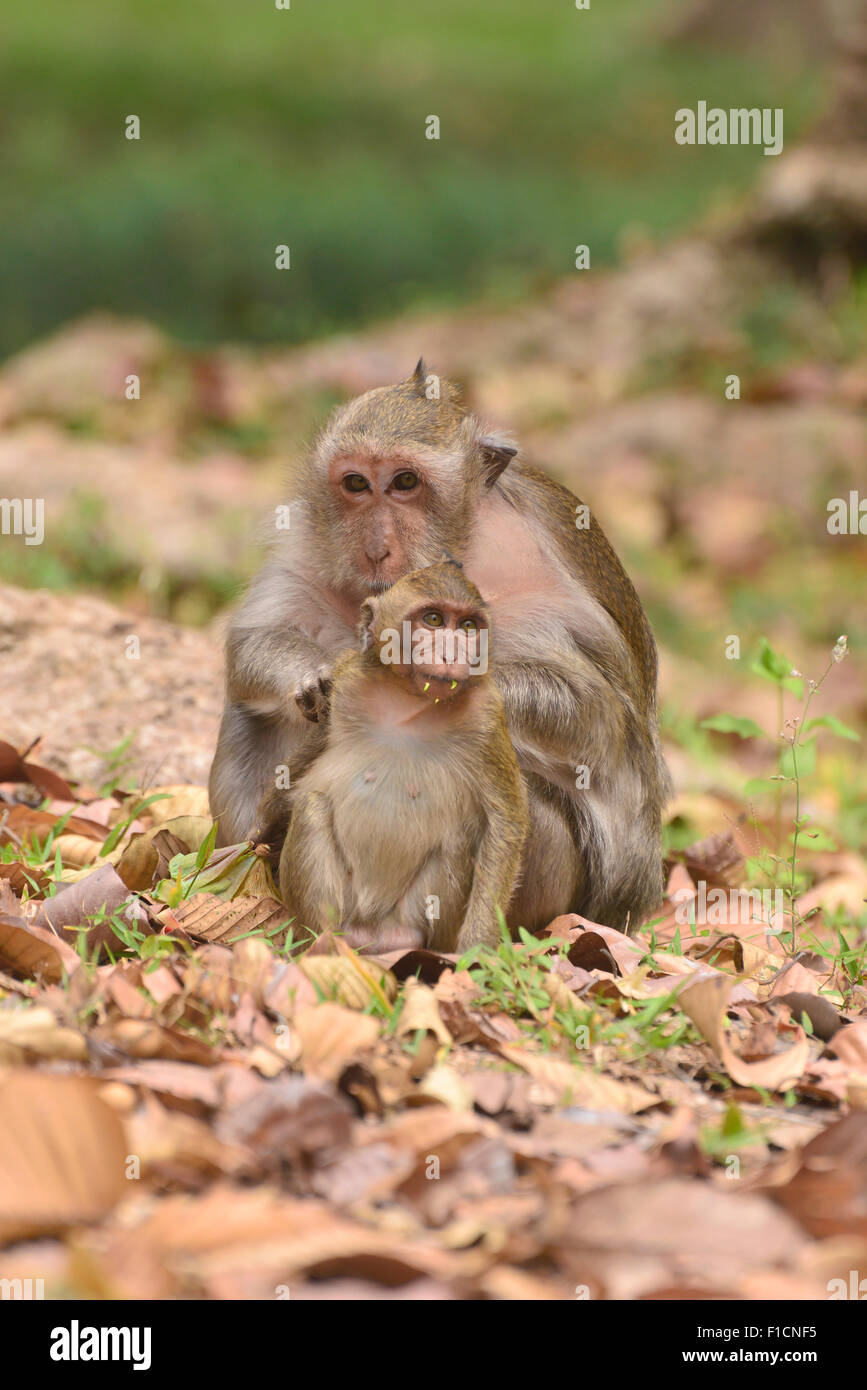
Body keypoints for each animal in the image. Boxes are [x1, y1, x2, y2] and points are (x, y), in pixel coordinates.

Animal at [273, 561, 528, 953]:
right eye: (434, 619)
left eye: (468, 627)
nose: (452, 654)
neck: (409, 699)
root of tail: (372, 930)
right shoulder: (349, 678)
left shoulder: (486, 716)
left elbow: (505, 822)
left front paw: (477, 949)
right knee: (312, 806)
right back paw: (324, 942)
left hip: (409, 917)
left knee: (456, 840)